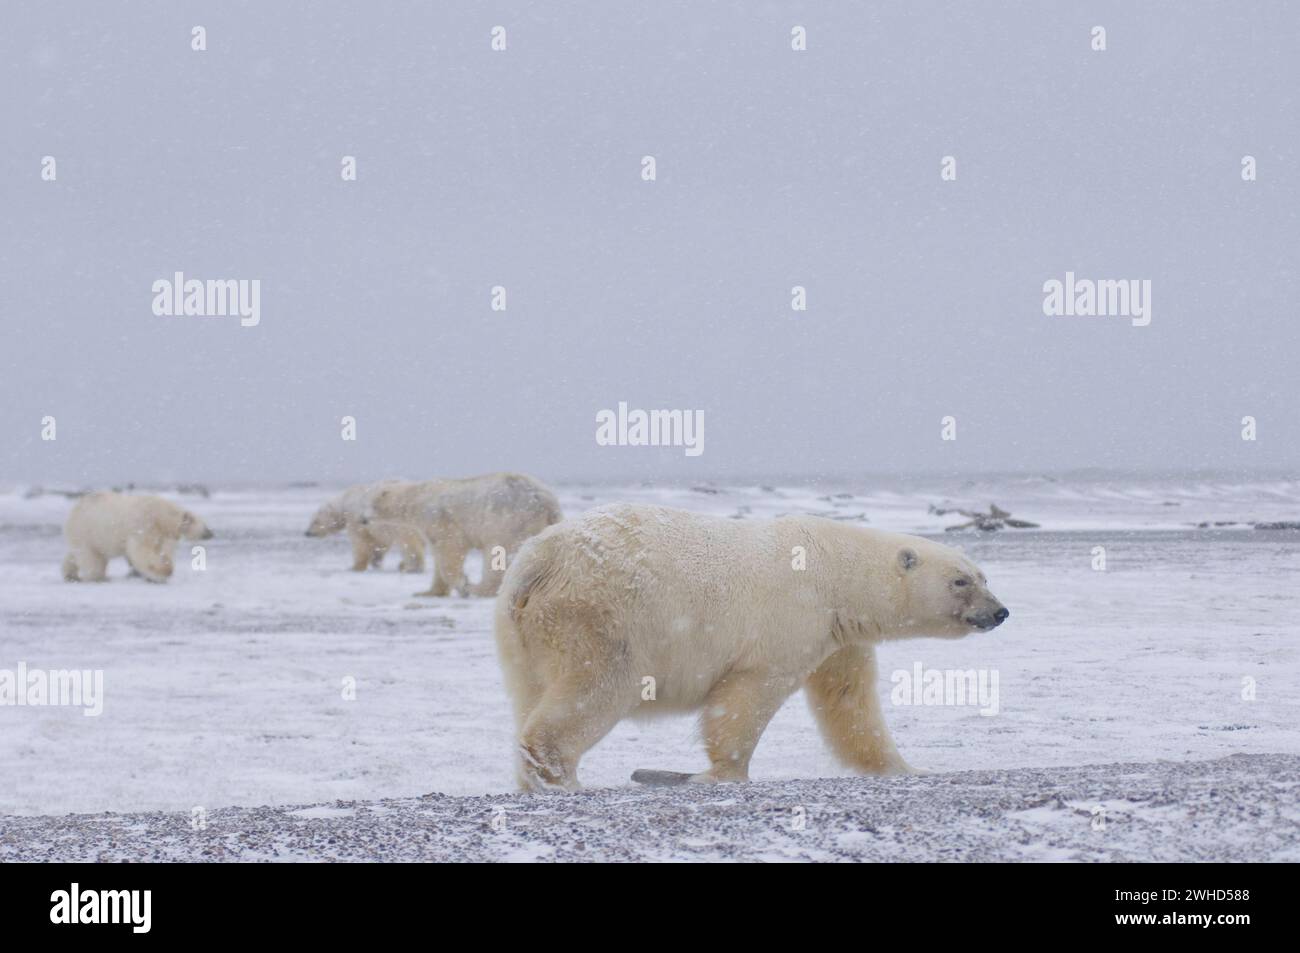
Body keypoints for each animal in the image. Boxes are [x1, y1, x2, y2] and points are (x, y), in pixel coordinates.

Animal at [62, 492, 214, 583]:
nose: (211, 533)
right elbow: (142, 550)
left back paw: (70, 574)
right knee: (91, 557)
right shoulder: (144, 525)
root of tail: (76, 507)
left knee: (76, 554)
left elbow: (163, 550)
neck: (161, 516)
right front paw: (161, 573)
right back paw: (96, 577)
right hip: (87, 532)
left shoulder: (162, 533)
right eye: (204, 526)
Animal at [369, 473, 562, 598]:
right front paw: (427, 592)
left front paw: (463, 585)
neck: (418, 496)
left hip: (510, 521)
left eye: (369, 504)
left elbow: (450, 549)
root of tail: (546, 501)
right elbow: (438, 557)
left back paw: (478, 589)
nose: (364, 519)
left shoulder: (439, 518)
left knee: (500, 554)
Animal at [494, 503, 1009, 792]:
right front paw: (726, 772)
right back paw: (561, 779)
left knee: (530, 693)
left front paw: (904, 767)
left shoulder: (837, 636)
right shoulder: (790, 620)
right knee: (598, 687)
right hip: (604, 617)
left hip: (522, 633)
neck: (836, 573)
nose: (1000, 611)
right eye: (961, 581)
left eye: (984, 576)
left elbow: (849, 703)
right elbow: (747, 697)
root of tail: (538, 564)